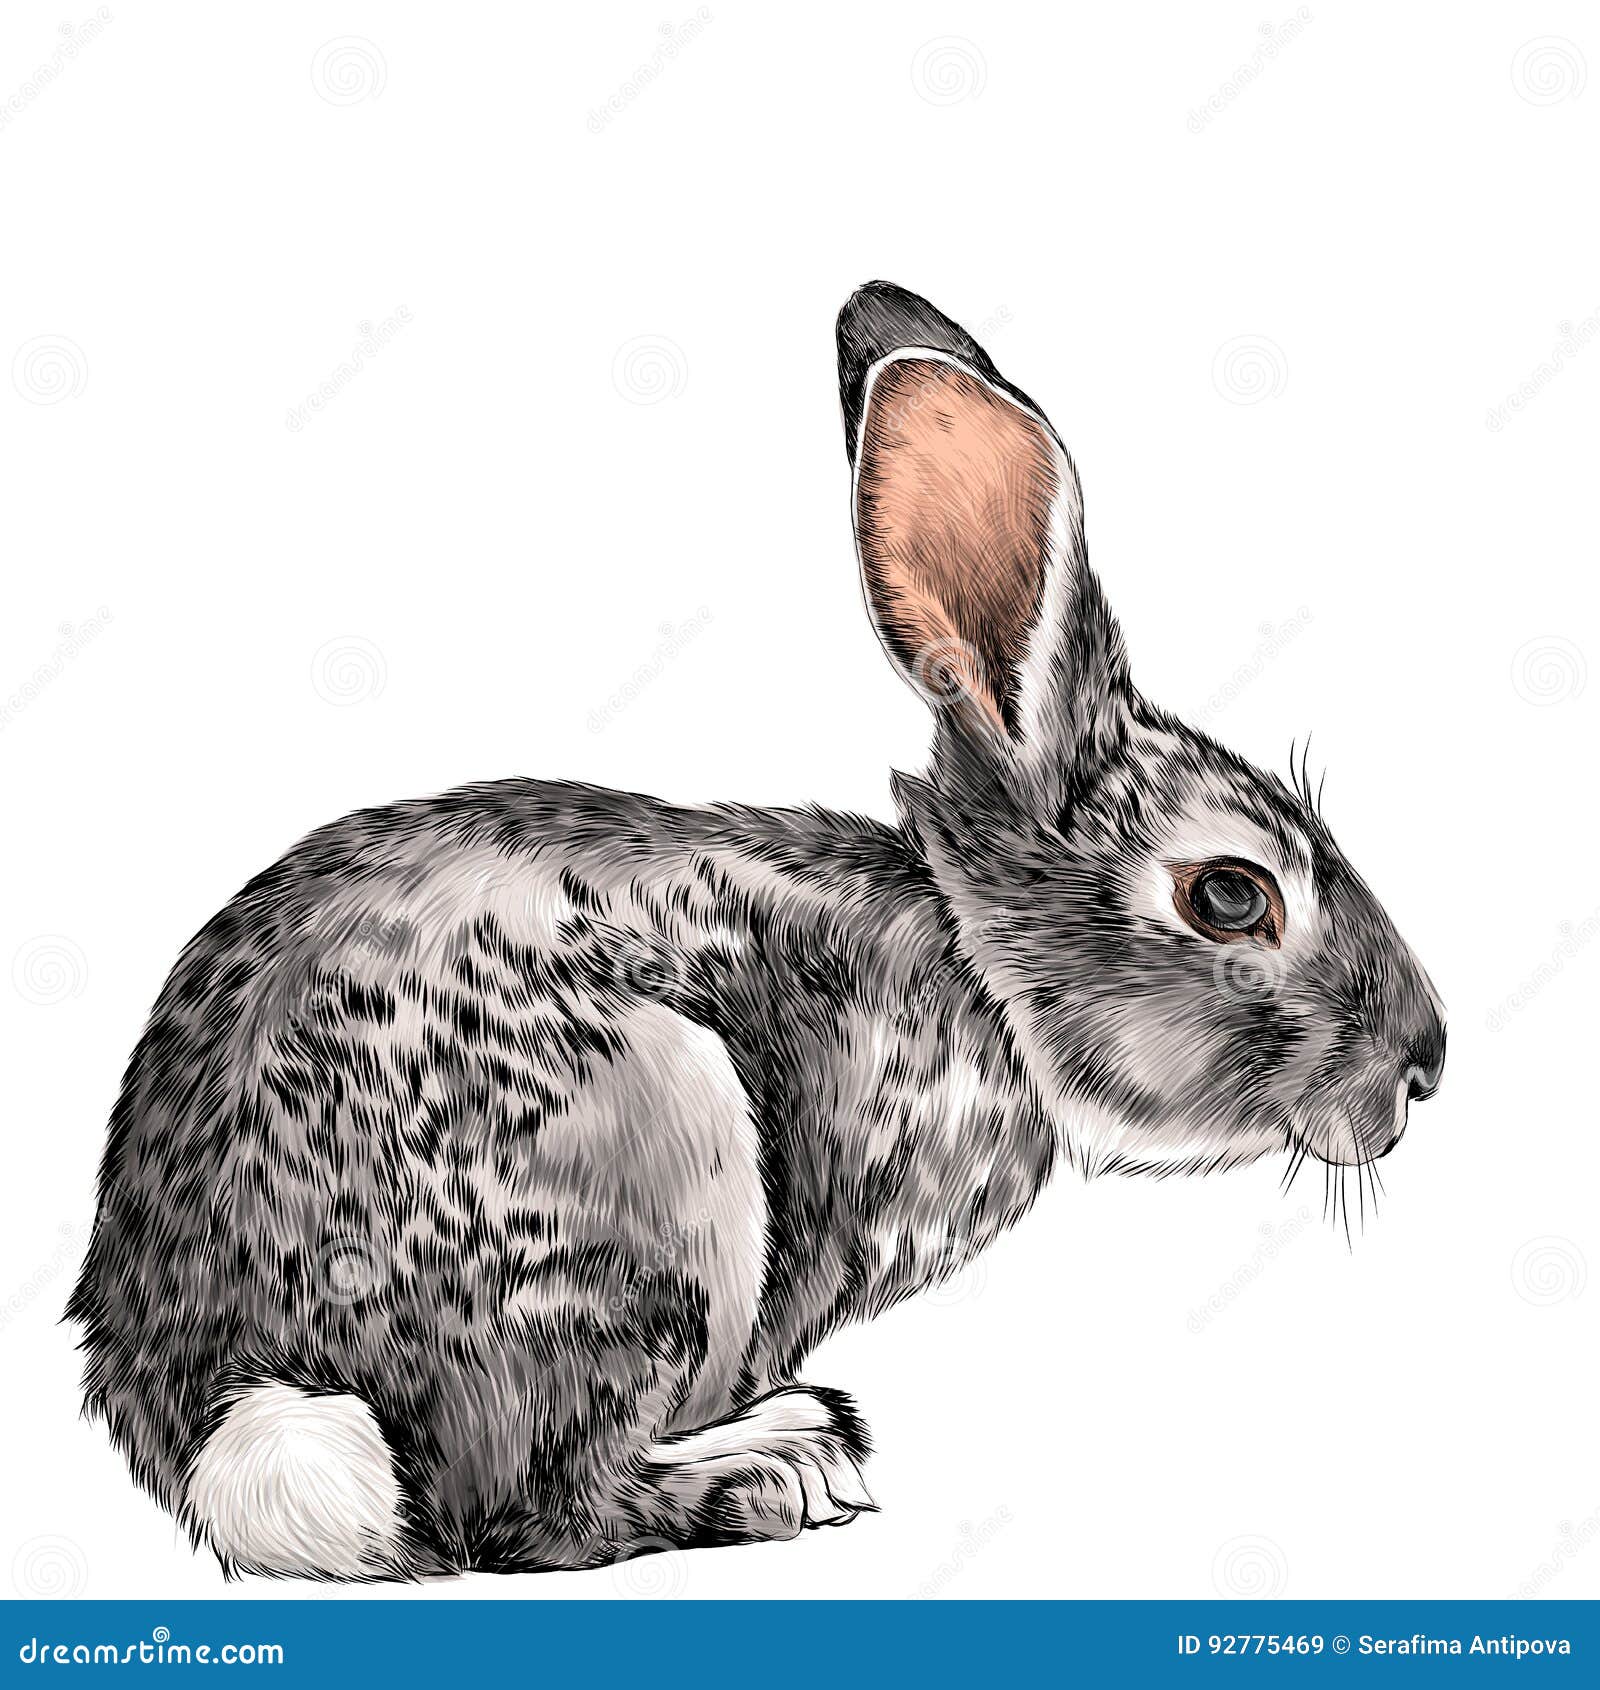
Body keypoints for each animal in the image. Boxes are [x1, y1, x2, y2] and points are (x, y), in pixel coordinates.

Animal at [67, 283, 1445, 1581]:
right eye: (1231, 895)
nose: (1422, 1065)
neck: (974, 966)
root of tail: (216, 1396)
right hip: (654, 1168)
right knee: (525, 1513)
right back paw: (777, 1465)